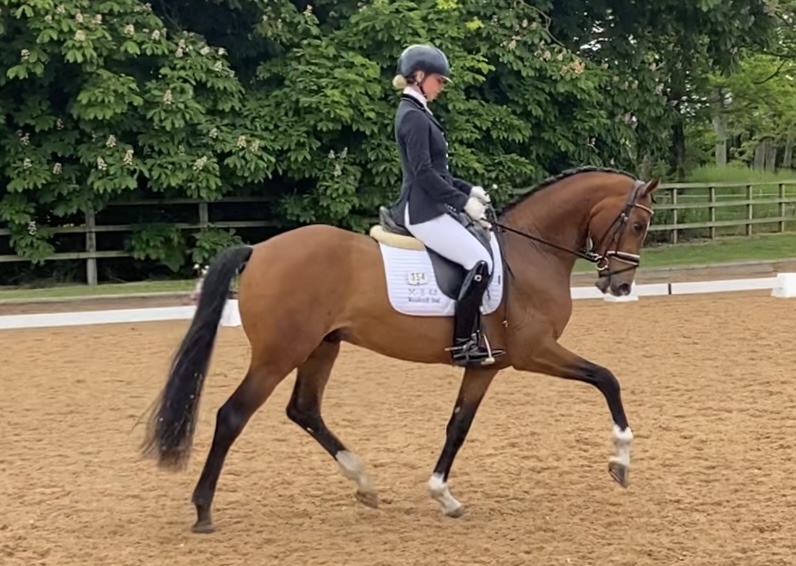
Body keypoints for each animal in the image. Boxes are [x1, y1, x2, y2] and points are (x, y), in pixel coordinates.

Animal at [140, 165, 658, 533]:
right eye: (635, 223)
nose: (620, 285)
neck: (532, 253)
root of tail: (259, 250)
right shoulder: (536, 351)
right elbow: (606, 378)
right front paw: (621, 460)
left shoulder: (488, 365)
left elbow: (458, 426)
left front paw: (443, 495)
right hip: (279, 354)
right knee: (233, 415)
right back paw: (203, 510)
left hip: (321, 348)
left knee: (304, 409)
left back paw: (364, 485)